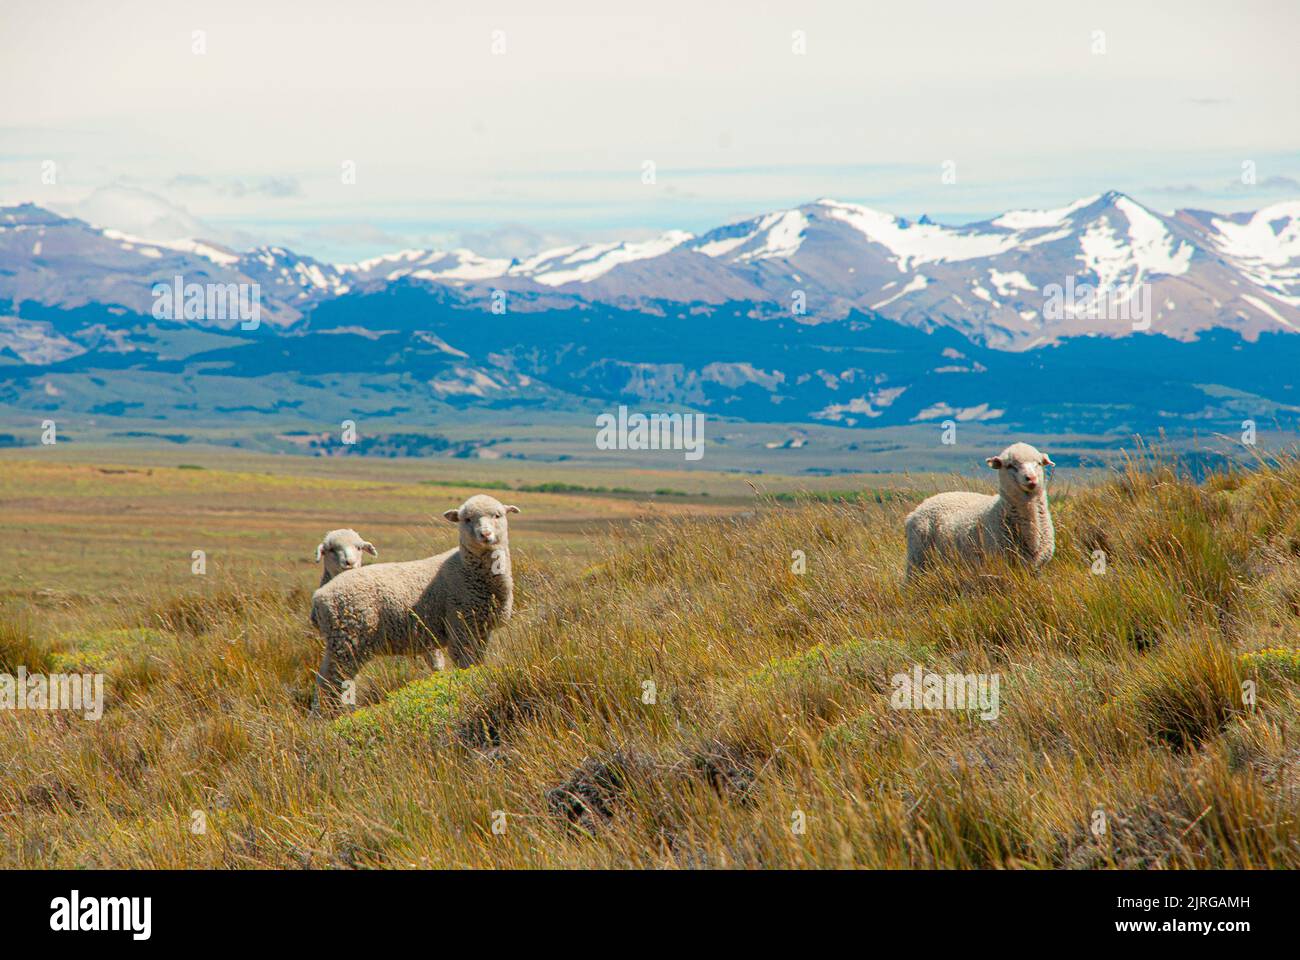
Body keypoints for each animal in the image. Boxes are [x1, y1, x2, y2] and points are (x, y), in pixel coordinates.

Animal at [309, 494, 520, 714]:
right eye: (467, 519)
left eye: (498, 515)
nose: (485, 534)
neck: (465, 568)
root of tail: (319, 596)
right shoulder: (461, 625)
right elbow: (466, 663)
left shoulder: (481, 627)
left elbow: (477, 661)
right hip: (348, 638)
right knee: (331, 680)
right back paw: (329, 714)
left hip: (339, 640)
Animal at [904, 442, 1056, 578]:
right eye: (1010, 466)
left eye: (1039, 463)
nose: (1031, 479)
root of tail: (919, 507)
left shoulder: (1036, 567)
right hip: (918, 557)